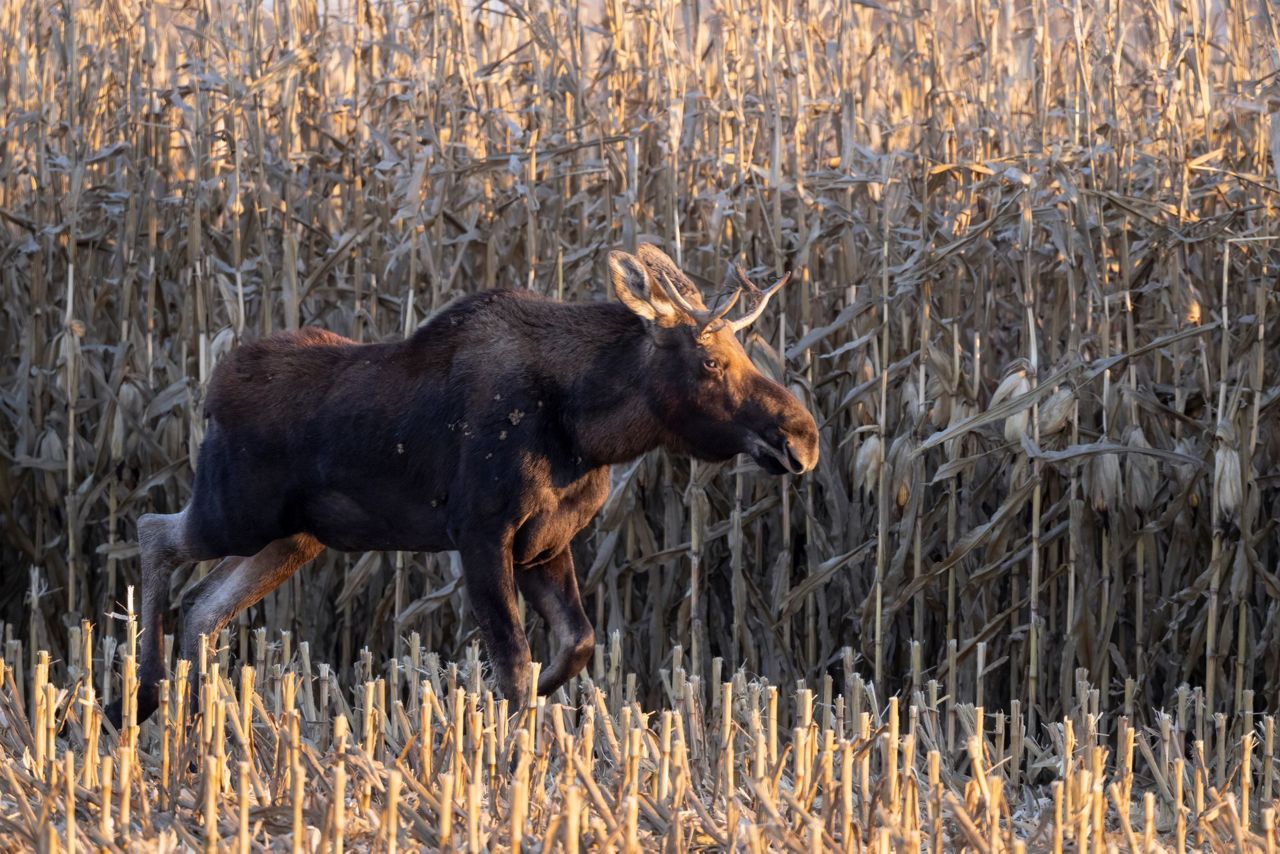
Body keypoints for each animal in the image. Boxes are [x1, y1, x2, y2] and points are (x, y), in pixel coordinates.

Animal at [103, 243, 819, 728]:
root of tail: (210, 393)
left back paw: (196, 721)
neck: (586, 428)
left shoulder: (545, 545)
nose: (804, 437)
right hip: (234, 510)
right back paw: (140, 698)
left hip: (295, 538)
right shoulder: (480, 532)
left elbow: (576, 645)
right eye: (711, 360)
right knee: (154, 532)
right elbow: (514, 661)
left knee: (205, 605)